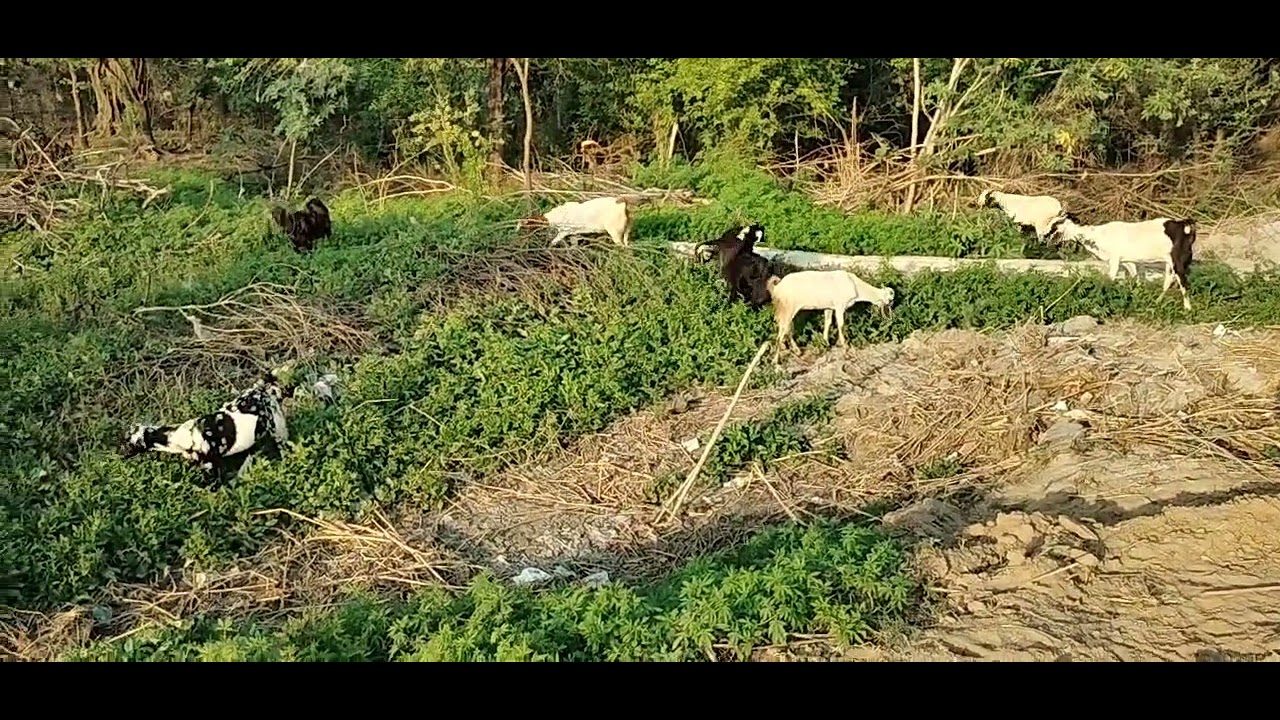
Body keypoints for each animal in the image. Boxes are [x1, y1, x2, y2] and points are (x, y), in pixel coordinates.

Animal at [120, 372, 293, 482]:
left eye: (127, 443)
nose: (119, 455)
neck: (186, 436)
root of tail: (263, 389)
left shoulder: (212, 466)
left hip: (277, 428)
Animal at [765, 270, 895, 363]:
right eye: (890, 300)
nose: (889, 315)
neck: (856, 287)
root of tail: (777, 288)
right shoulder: (840, 306)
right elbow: (841, 325)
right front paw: (844, 348)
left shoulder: (829, 307)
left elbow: (828, 322)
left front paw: (825, 343)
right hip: (788, 308)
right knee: (782, 331)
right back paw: (776, 361)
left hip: (783, 309)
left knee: (785, 328)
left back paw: (796, 351)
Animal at [1046, 215, 1196, 311]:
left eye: (1054, 227)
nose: (1046, 238)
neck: (1097, 235)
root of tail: (1183, 225)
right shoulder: (1127, 261)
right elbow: (1136, 279)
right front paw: (1136, 298)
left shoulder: (1114, 259)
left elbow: (1109, 280)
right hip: (1169, 263)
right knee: (1168, 280)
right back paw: (1157, 302)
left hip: (1177, 260)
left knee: (1183, 282)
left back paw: (1187, 308)